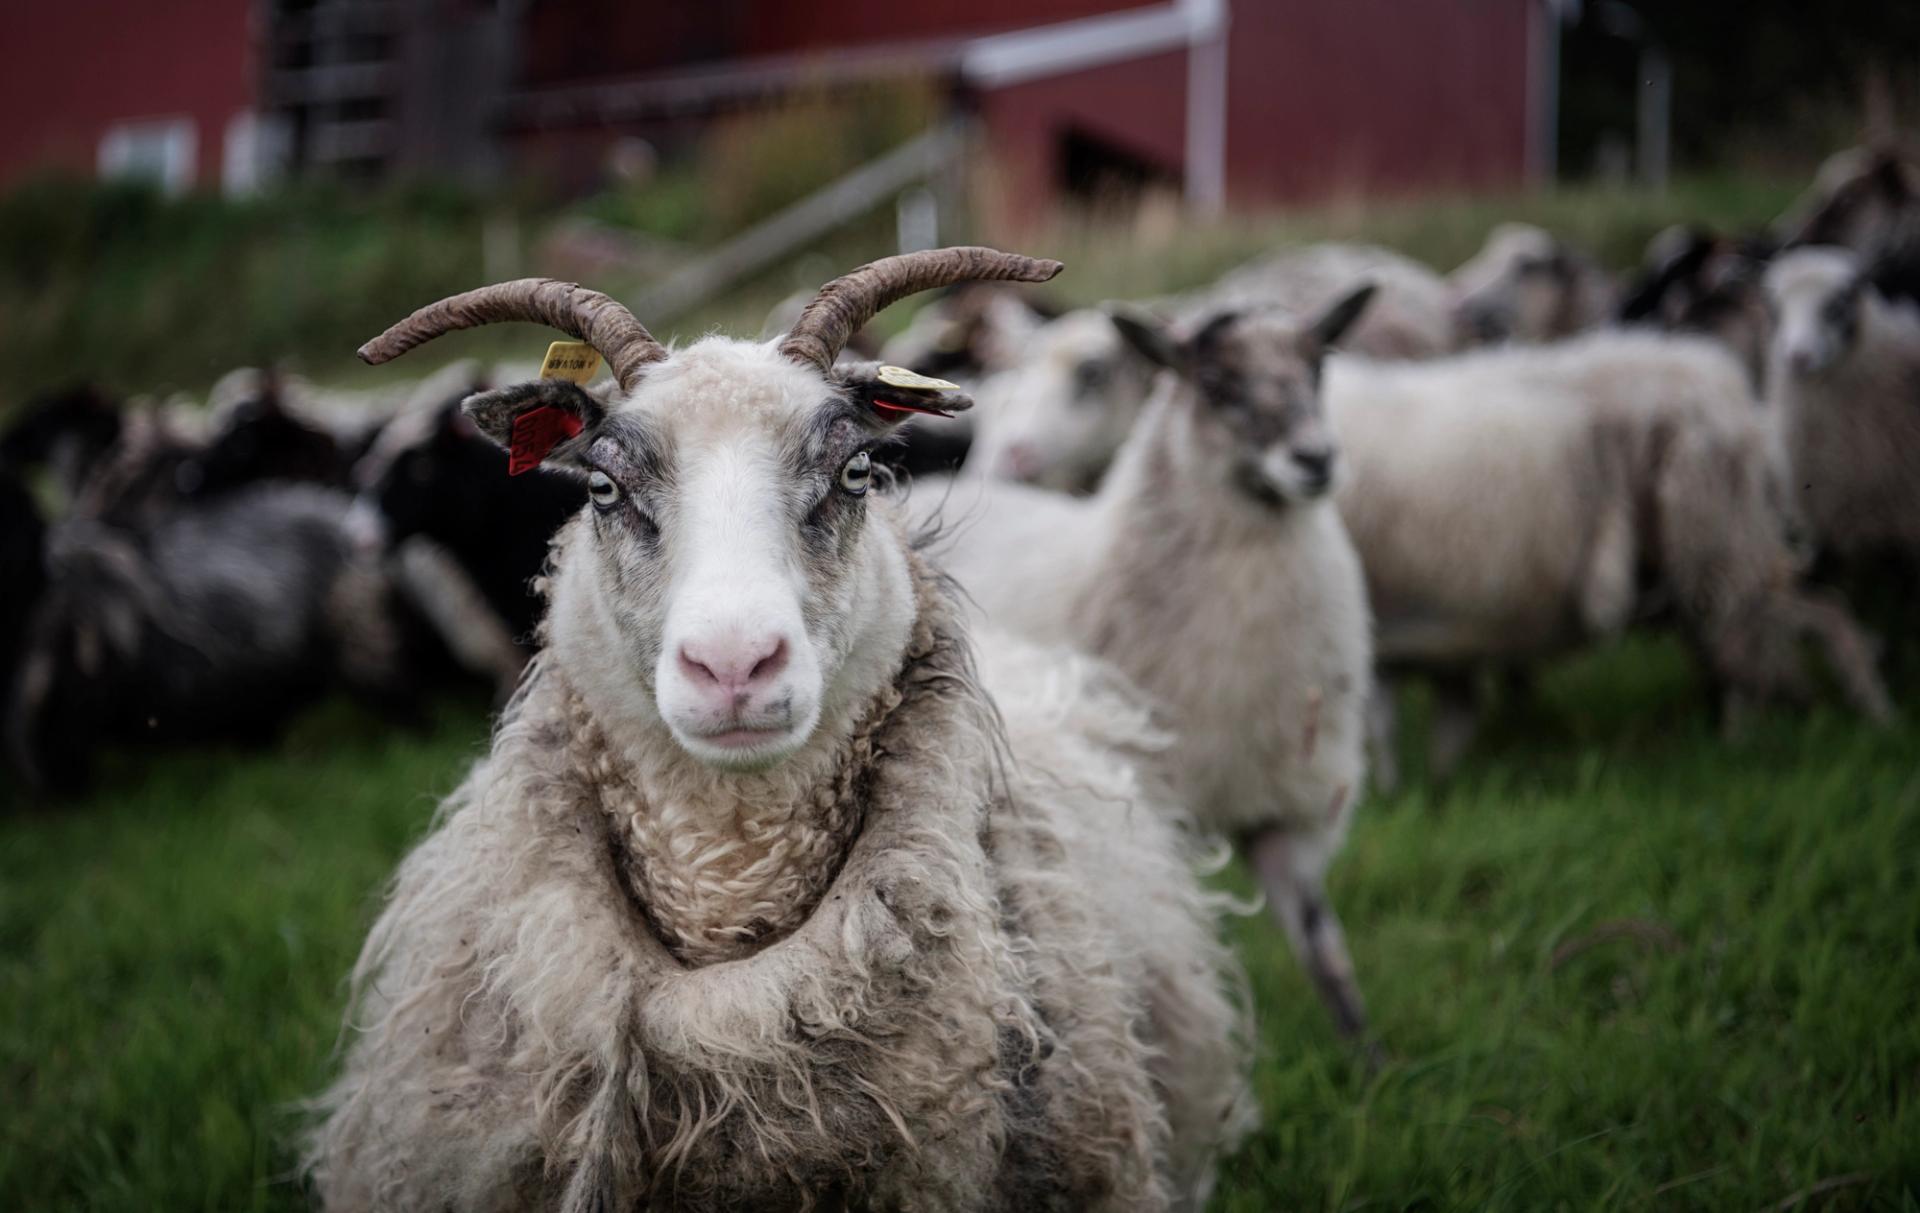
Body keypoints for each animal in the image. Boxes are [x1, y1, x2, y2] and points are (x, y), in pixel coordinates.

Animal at [913, 287, 1381, 1041]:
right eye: (1215, 385)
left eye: (1318, 369)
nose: (1315, 459)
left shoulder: (1293, 810)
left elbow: (1326, 953)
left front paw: (1369, 1058)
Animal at [1325, 330, 1893, 778]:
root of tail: (1734, 395)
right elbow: (1398, 723)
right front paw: (1418, 786)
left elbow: (1377, 727)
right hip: (1713, 554)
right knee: (1792, 627)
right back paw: (1858, 711)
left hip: (1716, 543)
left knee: (1765, 644)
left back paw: (1768, 737)